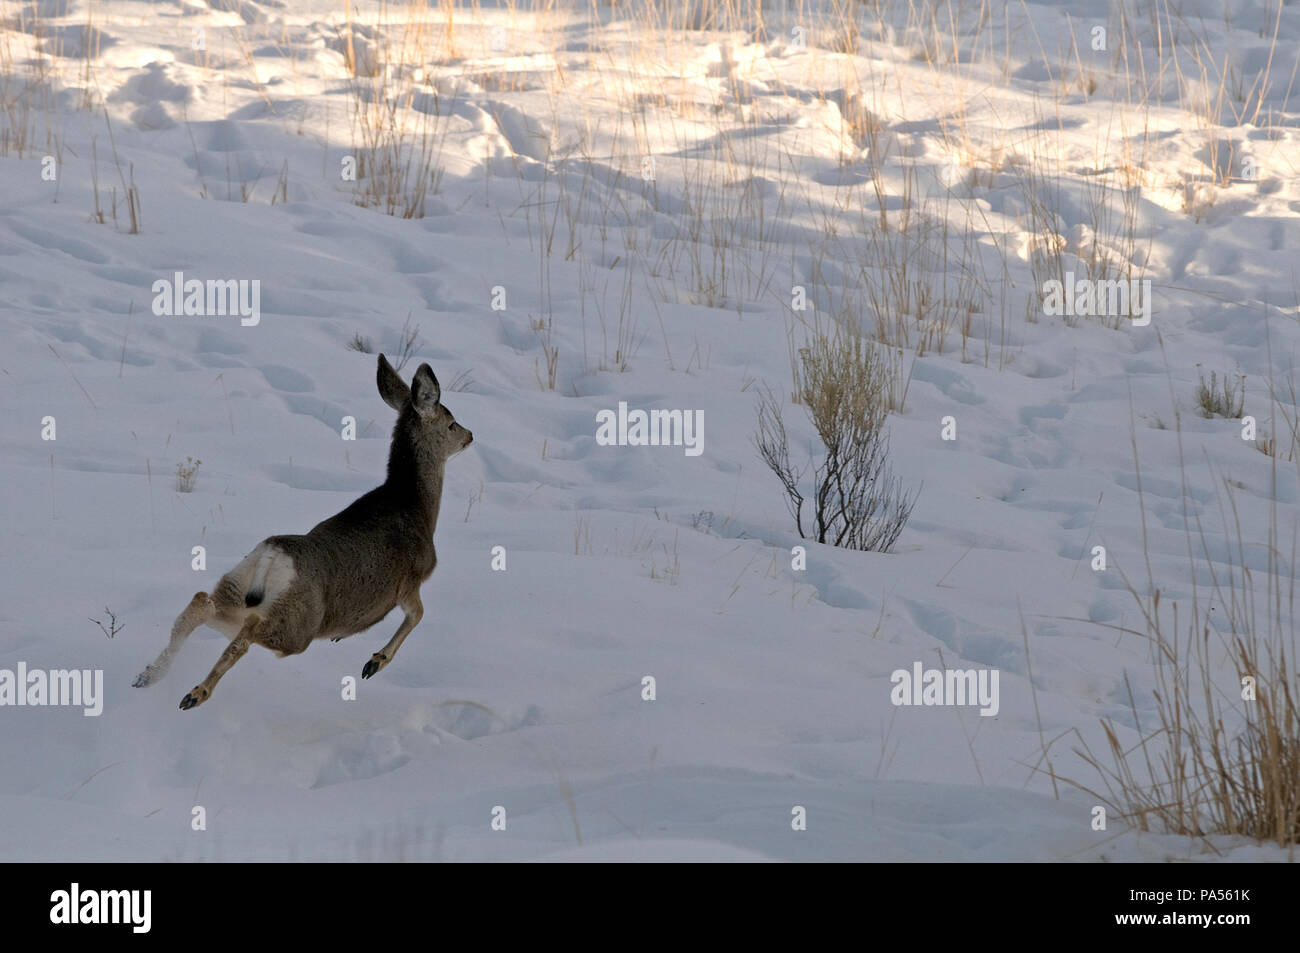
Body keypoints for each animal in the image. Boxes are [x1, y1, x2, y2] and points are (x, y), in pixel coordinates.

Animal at [133, 354, 473, 710]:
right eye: (451, 422)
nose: (470, 435)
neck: (416, 506)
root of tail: (273, 555)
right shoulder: (410, 580)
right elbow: (418, 615)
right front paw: (374, 662)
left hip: (236, 587)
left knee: (202, 603)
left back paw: (150, 675)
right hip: (298, 626)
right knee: (244, 638)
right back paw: (195, 694)